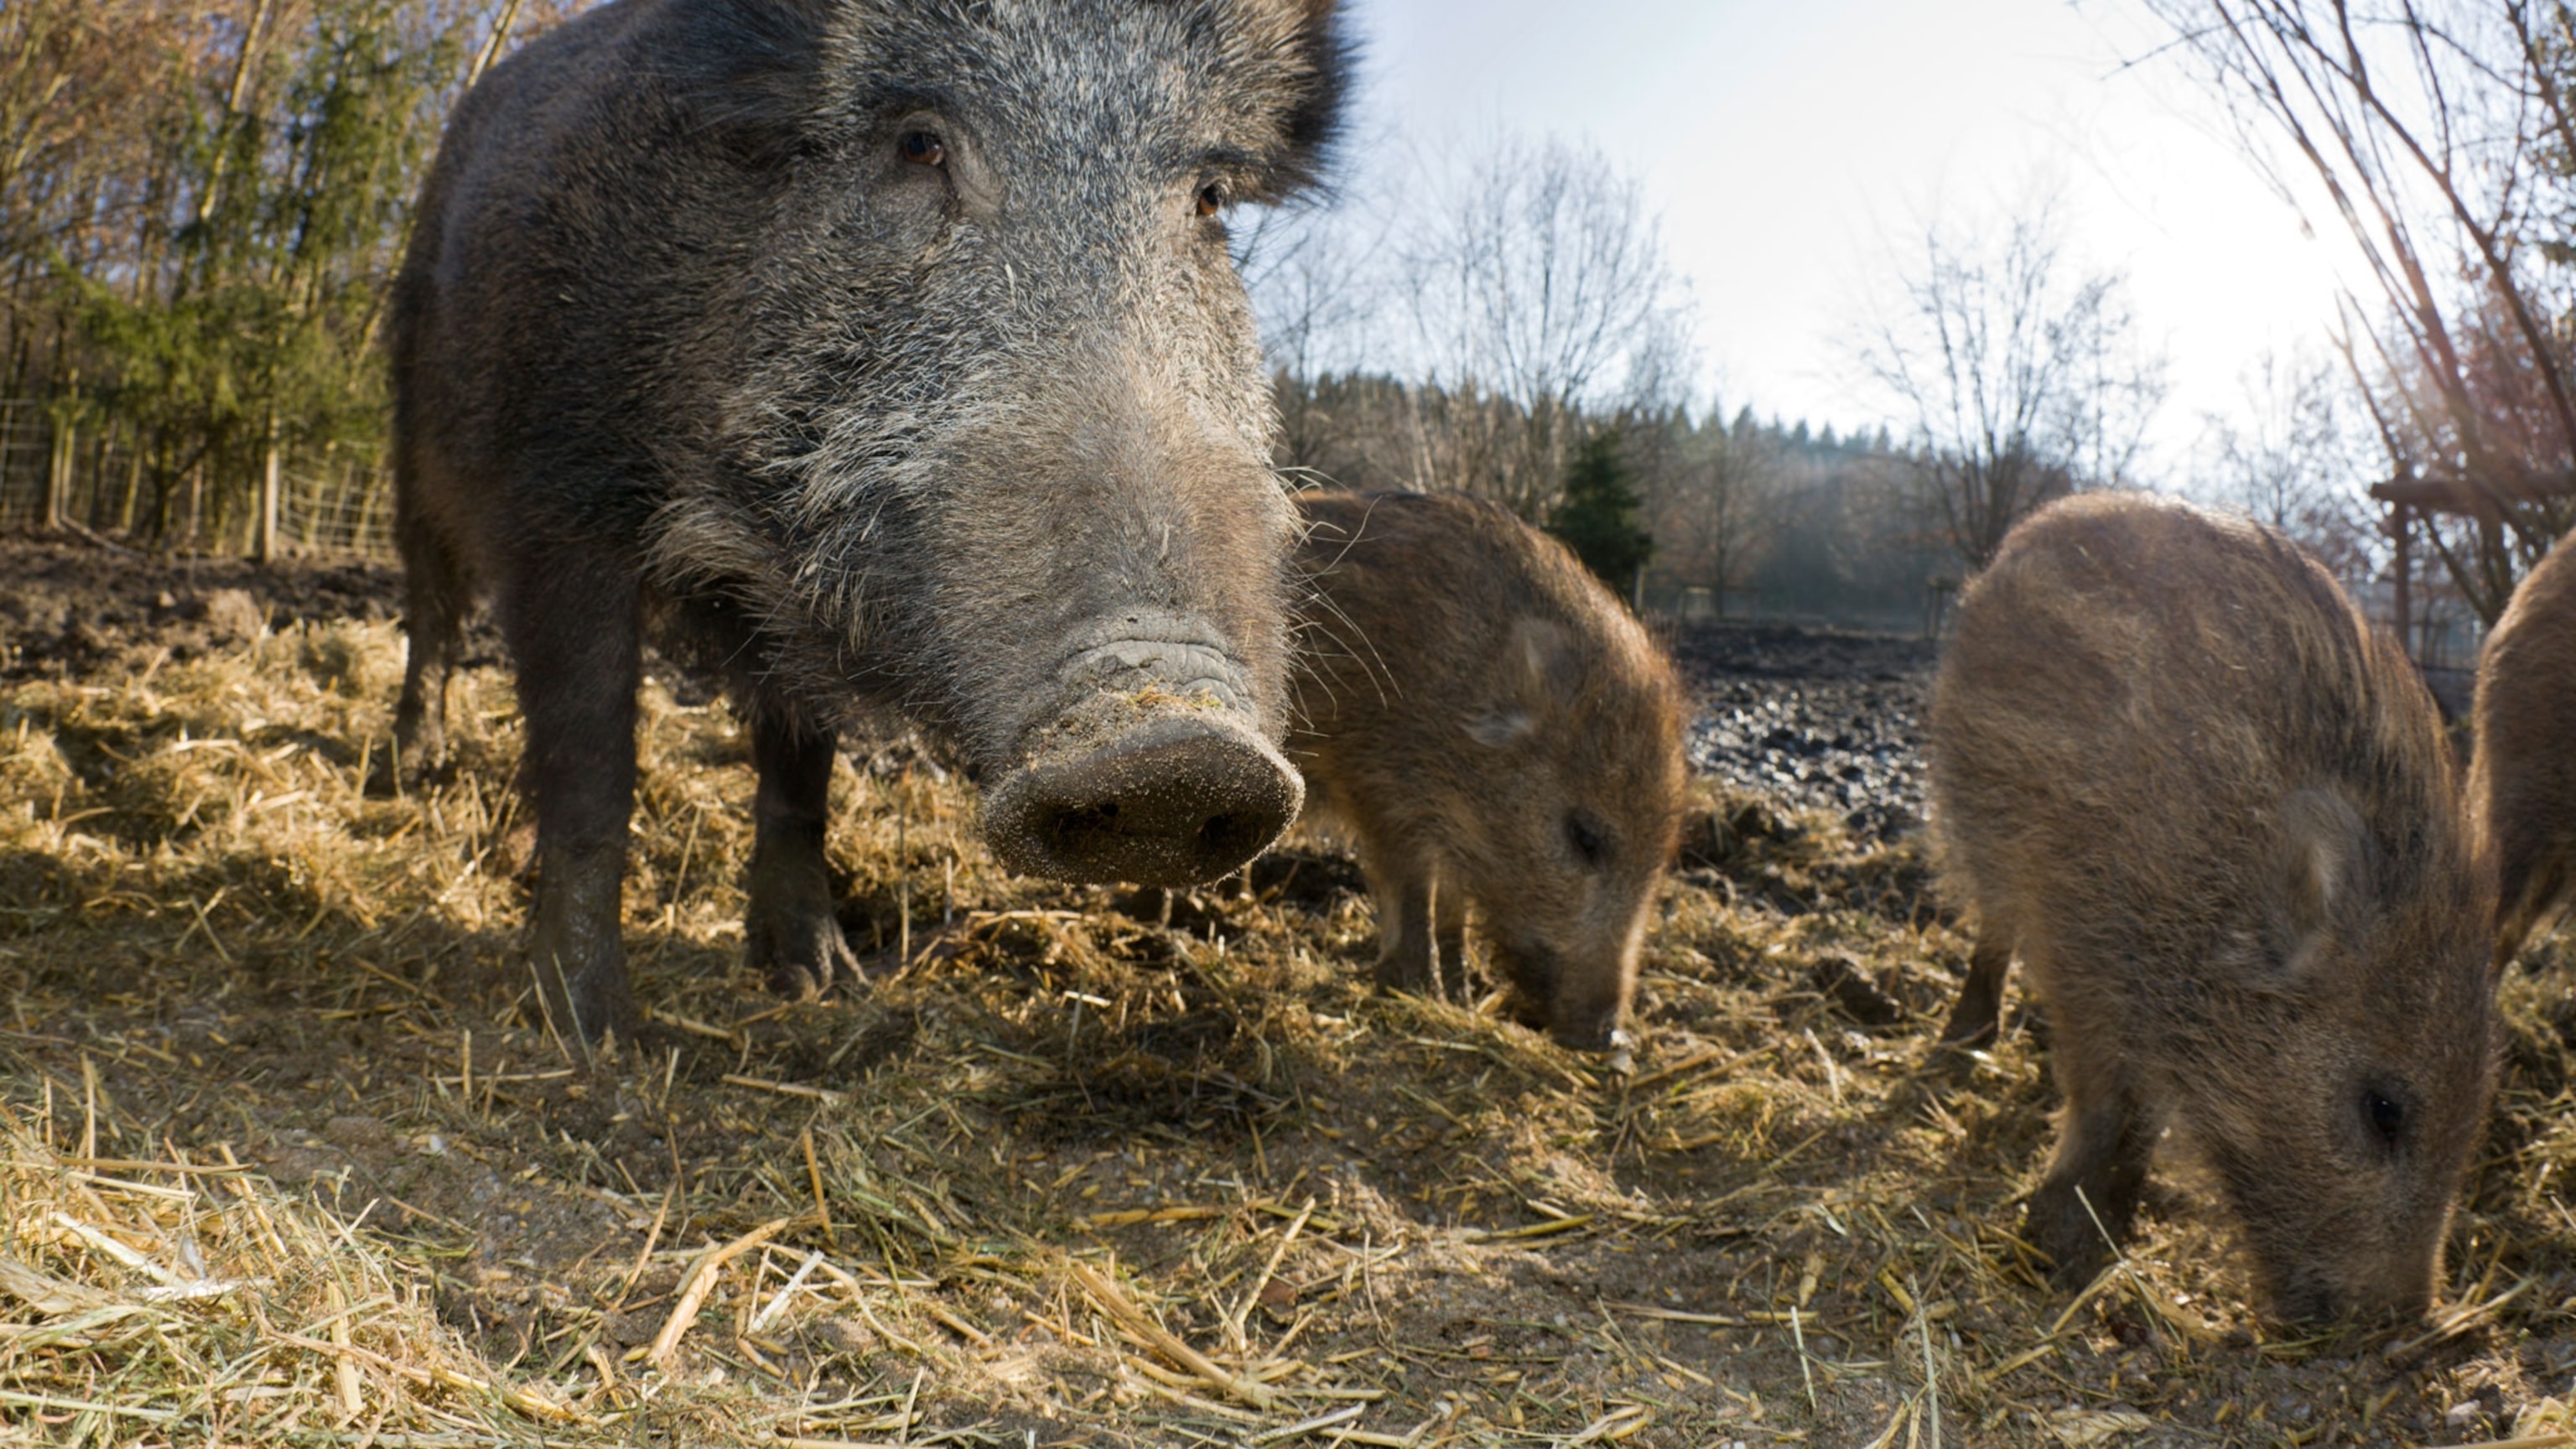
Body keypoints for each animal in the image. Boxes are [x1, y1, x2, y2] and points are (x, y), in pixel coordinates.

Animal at [391, 0, 1350, 1046]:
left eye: (1209, 198)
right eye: (919, 143)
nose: (1183, 752)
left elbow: (801, 772)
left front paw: (820, 981)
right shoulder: (557, 497)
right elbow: (592, 765)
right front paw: (596, 1036)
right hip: (409, 427)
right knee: (430, 608)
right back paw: (410, 770)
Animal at [1286, 491, 1687, 1052]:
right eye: (1585, 837)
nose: (1608, 1038)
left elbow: (1453, 907)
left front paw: (1461, 995)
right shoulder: (1379, 790)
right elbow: (1411, 892)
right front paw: (1415, 990)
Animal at [1929, 492, 2497, 1320]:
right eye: (2383, 1109)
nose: (2405, 1319)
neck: (2216, 892)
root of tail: (2025, 534)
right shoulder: (2081, 938)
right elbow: (2107, 1096)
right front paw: (2062, 1244)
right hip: (1975, 815)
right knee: (1990, 930)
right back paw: (1962, 1045)